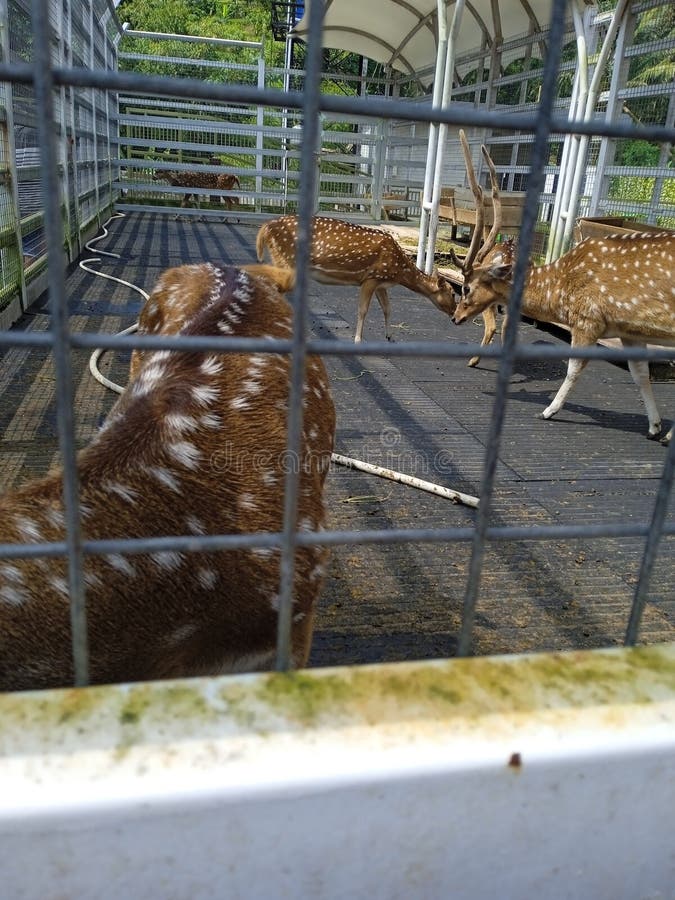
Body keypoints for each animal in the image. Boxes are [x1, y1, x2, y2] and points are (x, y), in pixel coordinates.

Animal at [256, 214, 460, 342]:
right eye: (452, 293)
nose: (454, 314)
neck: (399, 271)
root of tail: (264, 228)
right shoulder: (370, 278)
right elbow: (363, 310)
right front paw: (358, 339)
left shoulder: (381, 282)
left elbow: (388, 309)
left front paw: (390, 336)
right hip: (286, 260)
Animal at [452, 227, 675, 442]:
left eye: (466, 288)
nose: (455, 317)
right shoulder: (630, 332)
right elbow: (640, 375)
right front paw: (654, 427)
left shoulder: (587, 320)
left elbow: (573, 369)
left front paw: (548, 411)